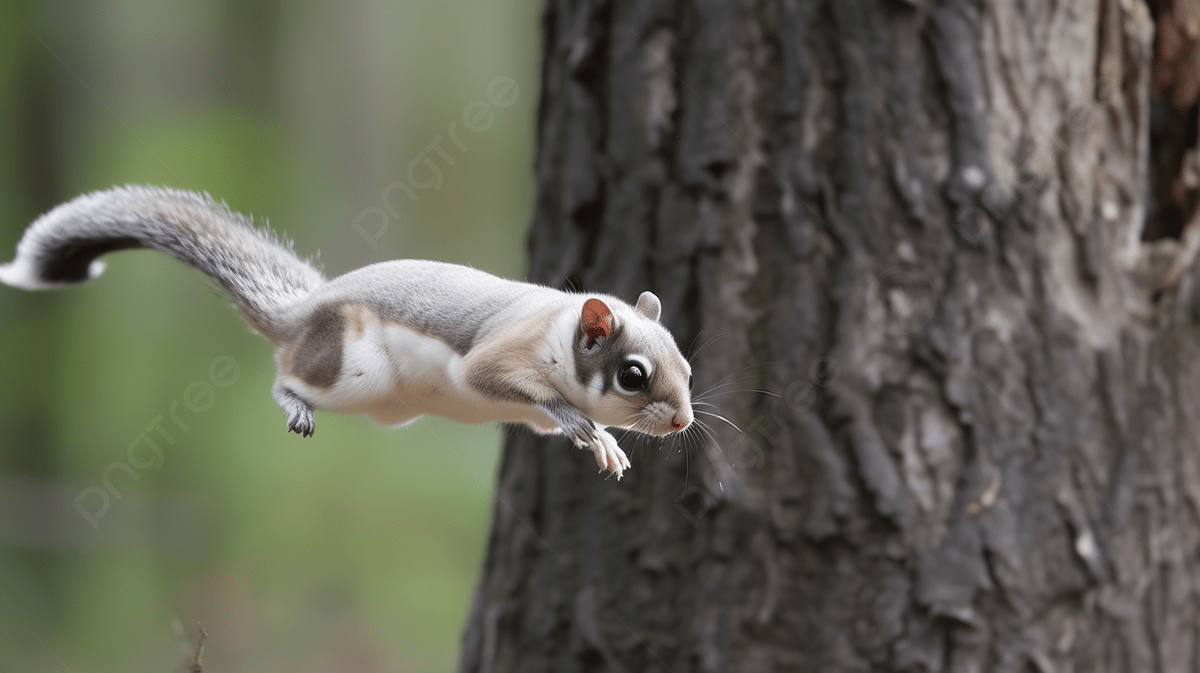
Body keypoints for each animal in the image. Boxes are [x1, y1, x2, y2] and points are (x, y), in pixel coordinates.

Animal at [0, 185, 694, 479]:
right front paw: (583, 423)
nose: (683, 421)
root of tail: (305, 310)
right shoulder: (499, 354)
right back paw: (294, 404)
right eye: (633, 374)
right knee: (284, 377)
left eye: (687, 366)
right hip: (348, 368)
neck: (555, 327)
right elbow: (506, 383)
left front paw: (603, 441)